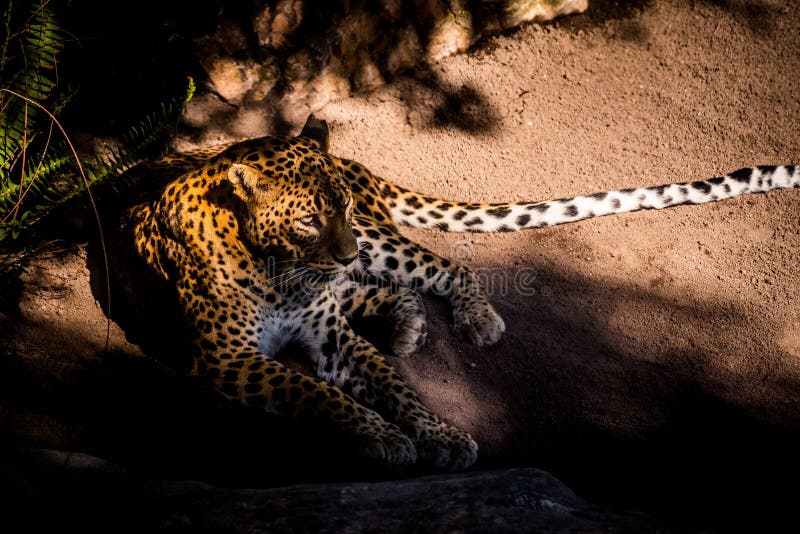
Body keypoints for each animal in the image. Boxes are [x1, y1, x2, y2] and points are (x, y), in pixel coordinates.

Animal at [124, 114, 799, 471]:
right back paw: (404, 322)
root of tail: (355, 162)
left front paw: (436, 435)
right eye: (309, 221)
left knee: (447, 269)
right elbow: (313, 389)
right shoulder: (229, 358)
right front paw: (382, 436)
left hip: (378, 243)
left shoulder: (332, 335)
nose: (339, 250)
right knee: (382, 290)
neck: (281, 271)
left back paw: (467, 319)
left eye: (338, 211)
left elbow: (394, 385)